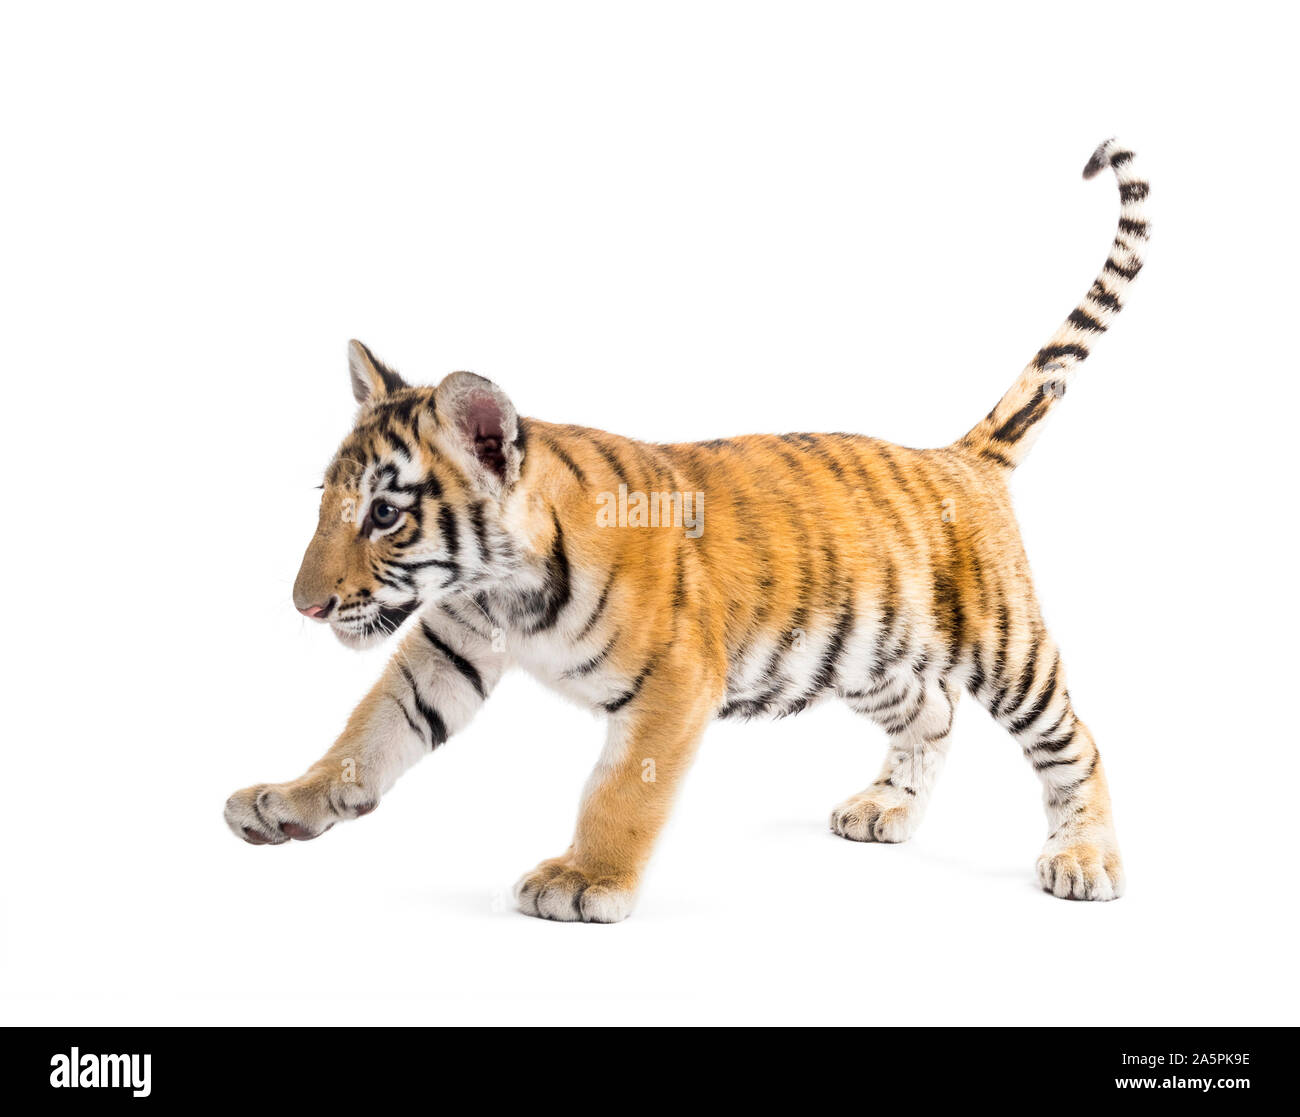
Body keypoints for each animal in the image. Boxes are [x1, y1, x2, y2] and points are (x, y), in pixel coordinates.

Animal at [225, 138, 1147, 921]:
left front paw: (584, 880)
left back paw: (1084, 857)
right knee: (934, 709)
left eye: (385, 513)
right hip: (869, 653)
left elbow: (622, 789)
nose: (304, 606)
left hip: (1002, 642)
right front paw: (286, 803)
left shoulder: (675, 680)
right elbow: (368, 731)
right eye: (327, 501)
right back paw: (886, 805)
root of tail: (958, 456)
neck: (500, 589)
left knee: (1073, 739)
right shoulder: (446, 648)